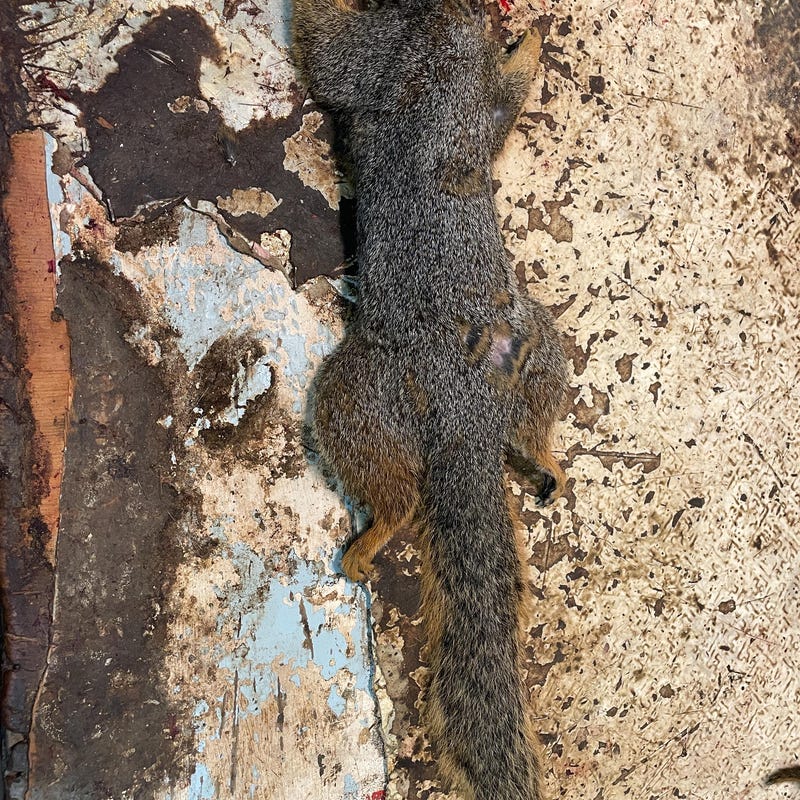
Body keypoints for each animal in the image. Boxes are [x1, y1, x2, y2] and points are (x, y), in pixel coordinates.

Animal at [293, 1, 568, 798]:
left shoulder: (386, 49)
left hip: (363, 400)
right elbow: (507, 100)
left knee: (398, 496)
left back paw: (370, 543)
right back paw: (543, 460)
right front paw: (531, 41)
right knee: (528, 428)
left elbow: (328, 52)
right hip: (539, 349)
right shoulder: (474, 88)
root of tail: (464, 410)